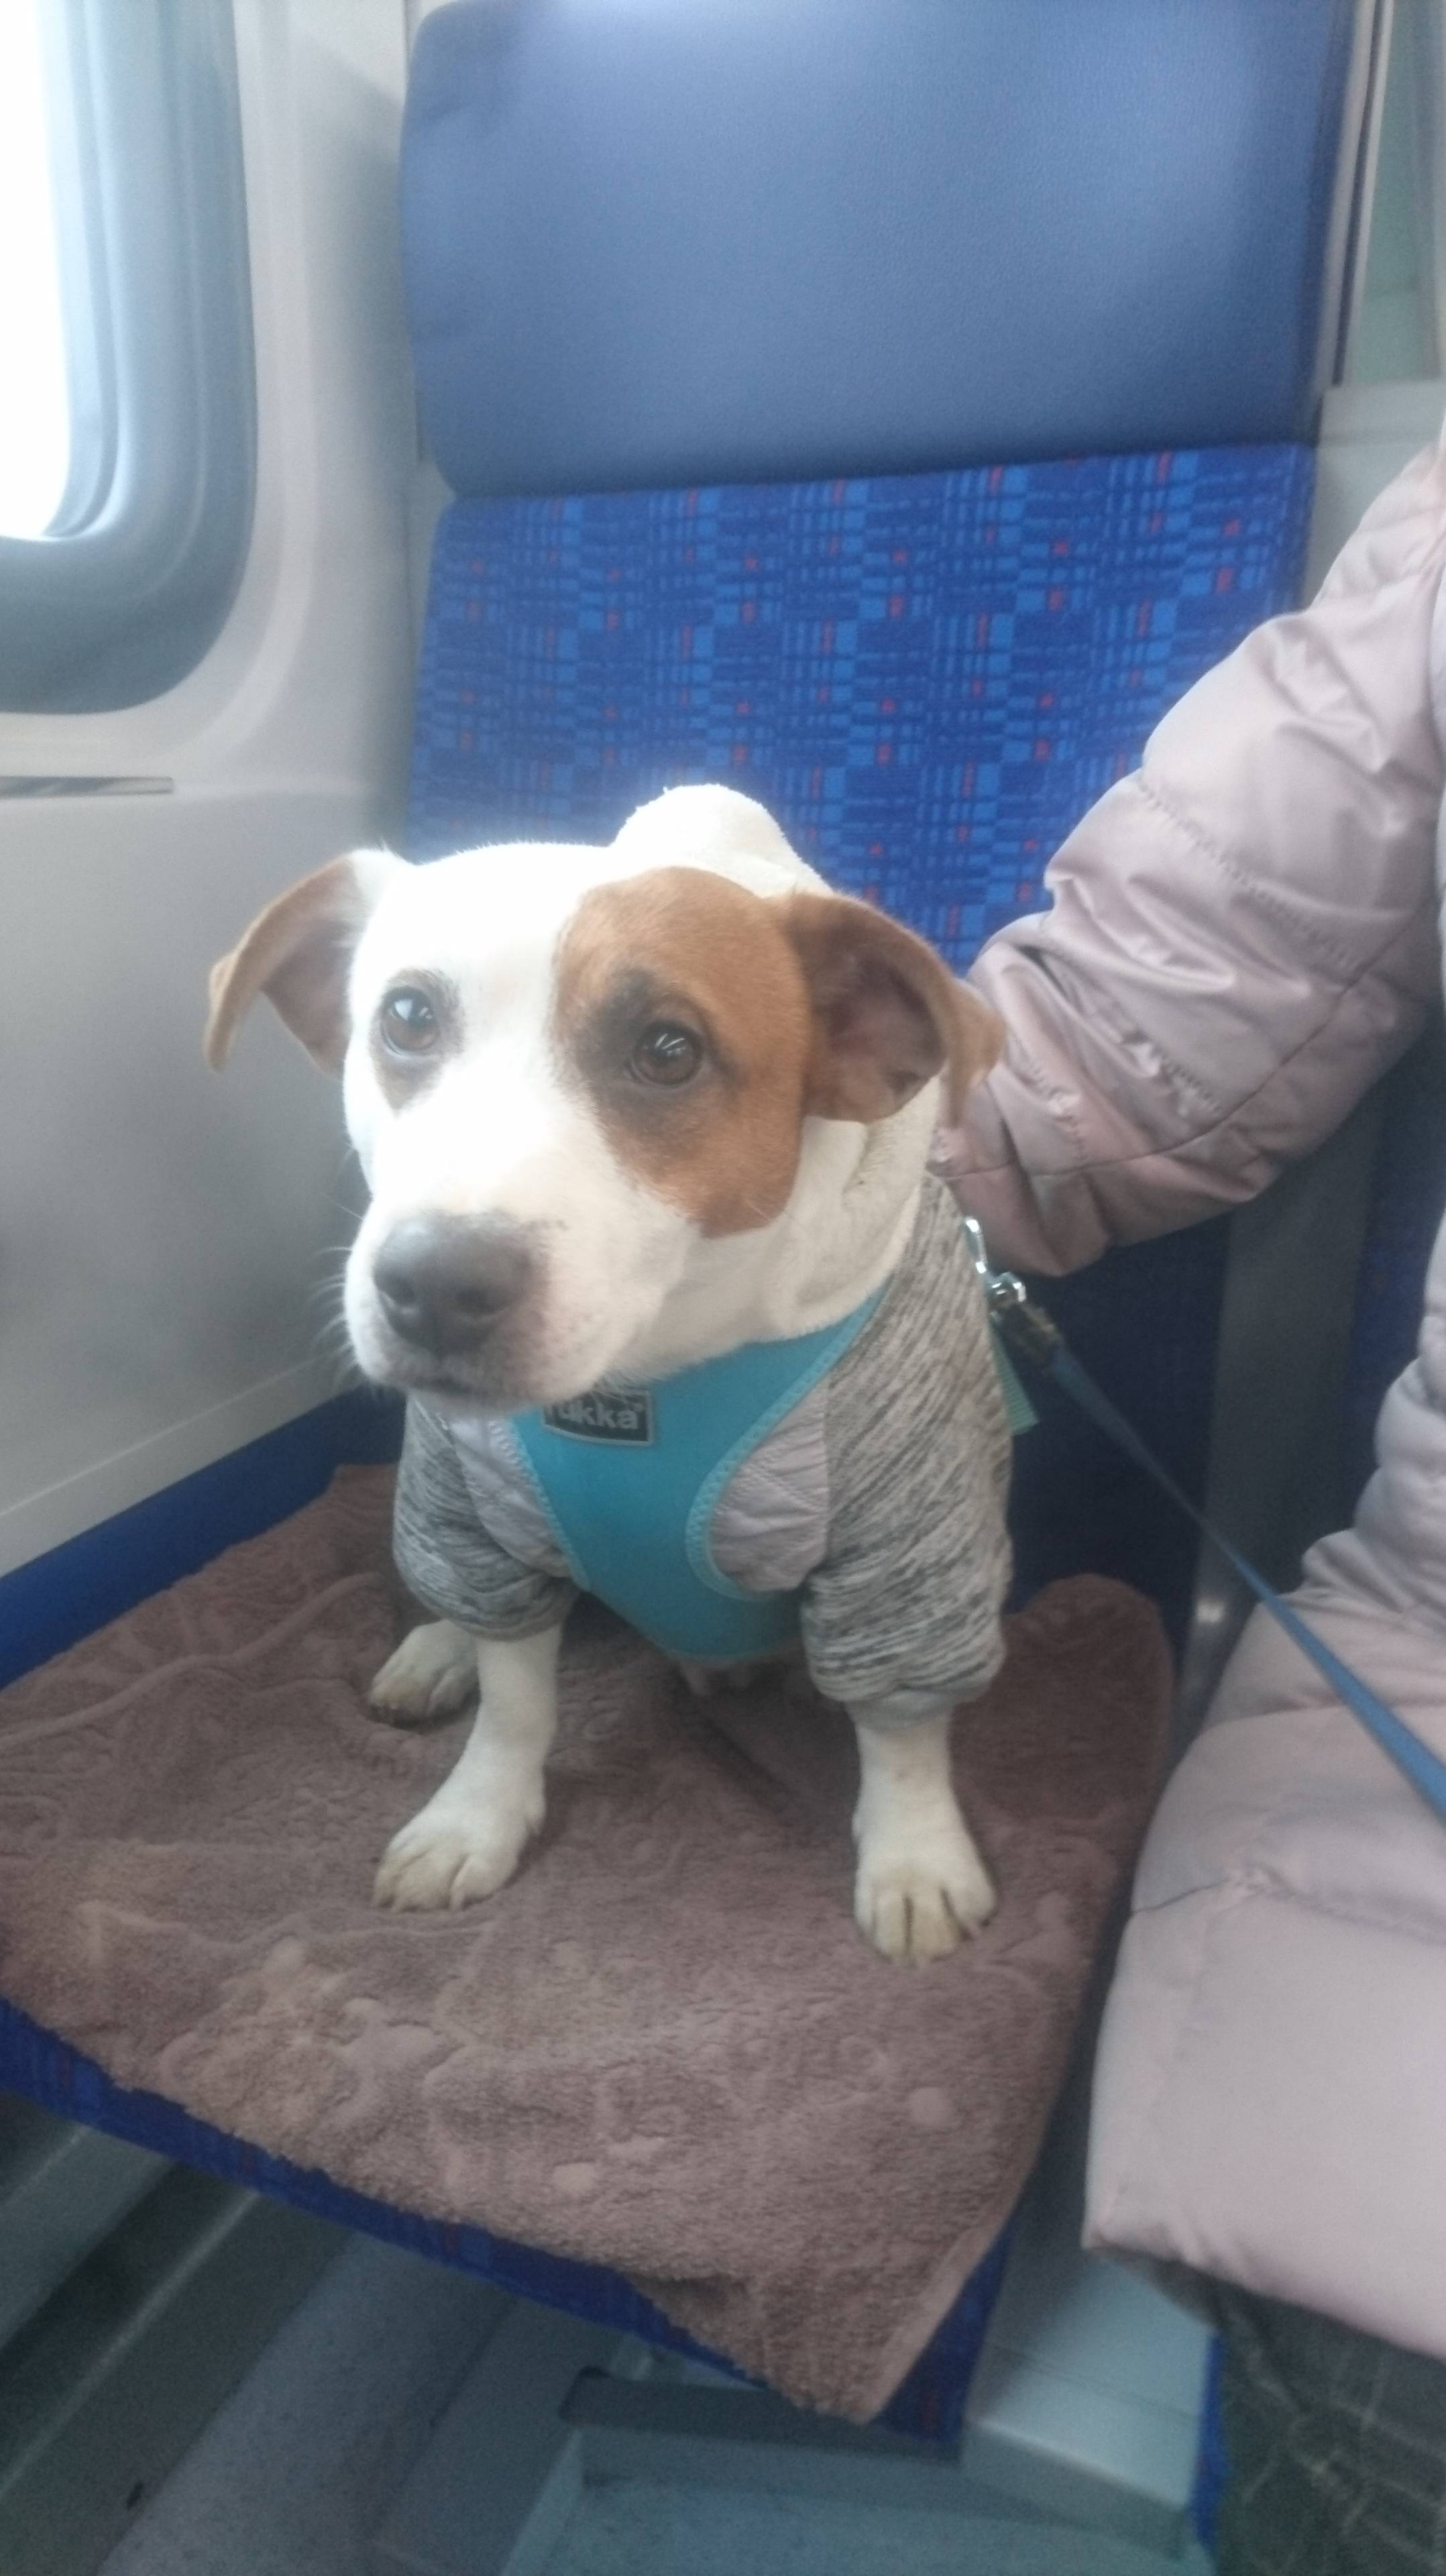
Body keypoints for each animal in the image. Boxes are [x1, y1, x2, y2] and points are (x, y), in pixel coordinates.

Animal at [206, 786, 1012, 1962]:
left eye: (669, 1050)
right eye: (407, 1017)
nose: (434, 1283)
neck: (650, 1379)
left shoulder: (908, 1565)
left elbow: (900, 1732)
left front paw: (913, 1855)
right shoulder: (476, 1518)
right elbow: (515, 1701)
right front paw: (476, 1815)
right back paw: (438, 1649)